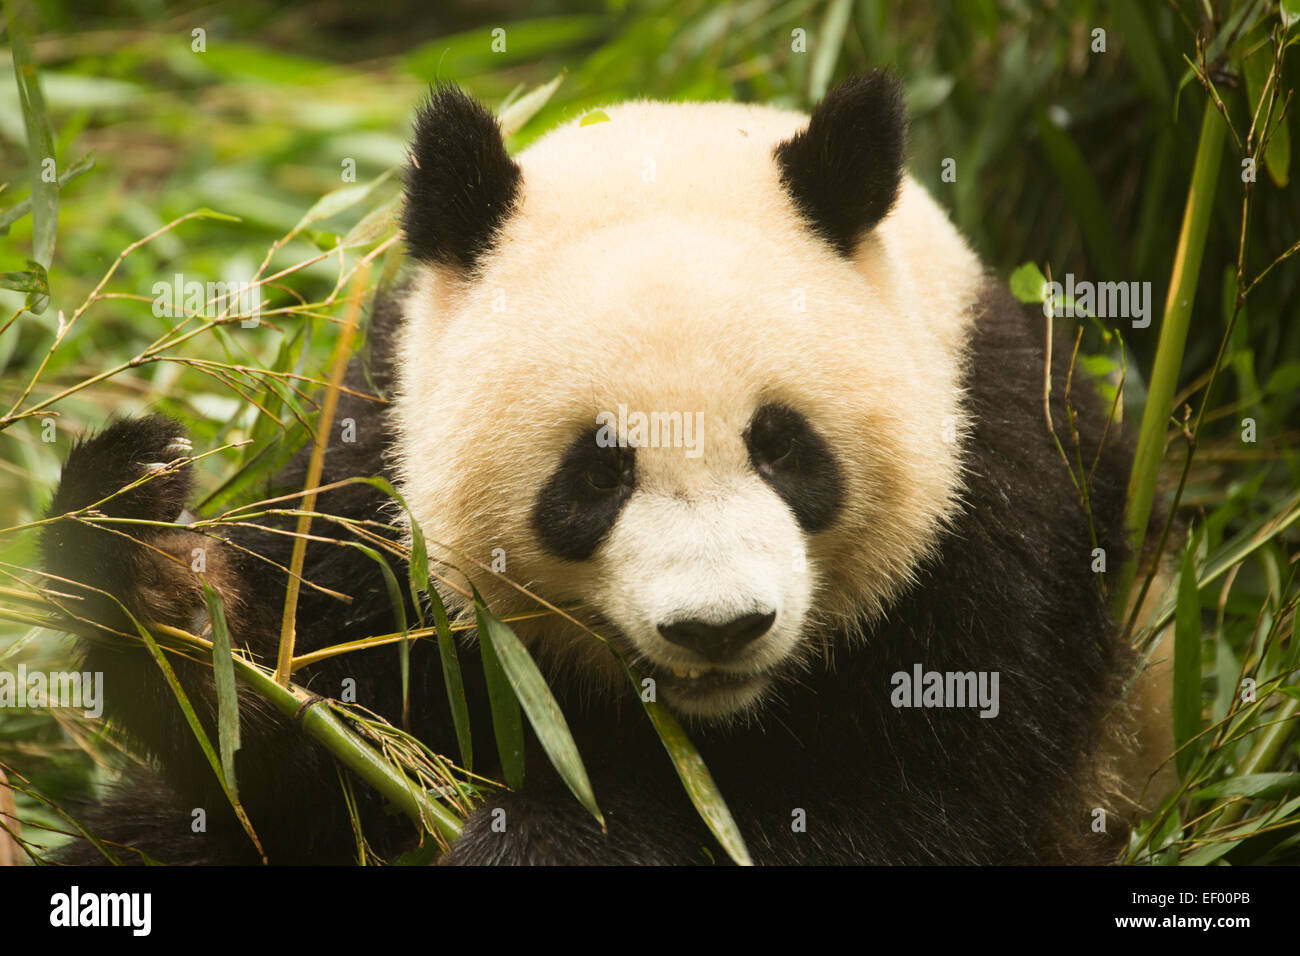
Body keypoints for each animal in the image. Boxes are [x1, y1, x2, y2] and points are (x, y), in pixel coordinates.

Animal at [40, 70, 1168, 865]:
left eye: (782, 447)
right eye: (595, 476)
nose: (719, 629)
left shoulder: (1004, 512)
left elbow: (916, 810)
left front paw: (547, 838)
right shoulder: (376, 476)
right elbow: (288, 746)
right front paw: (147, 549)